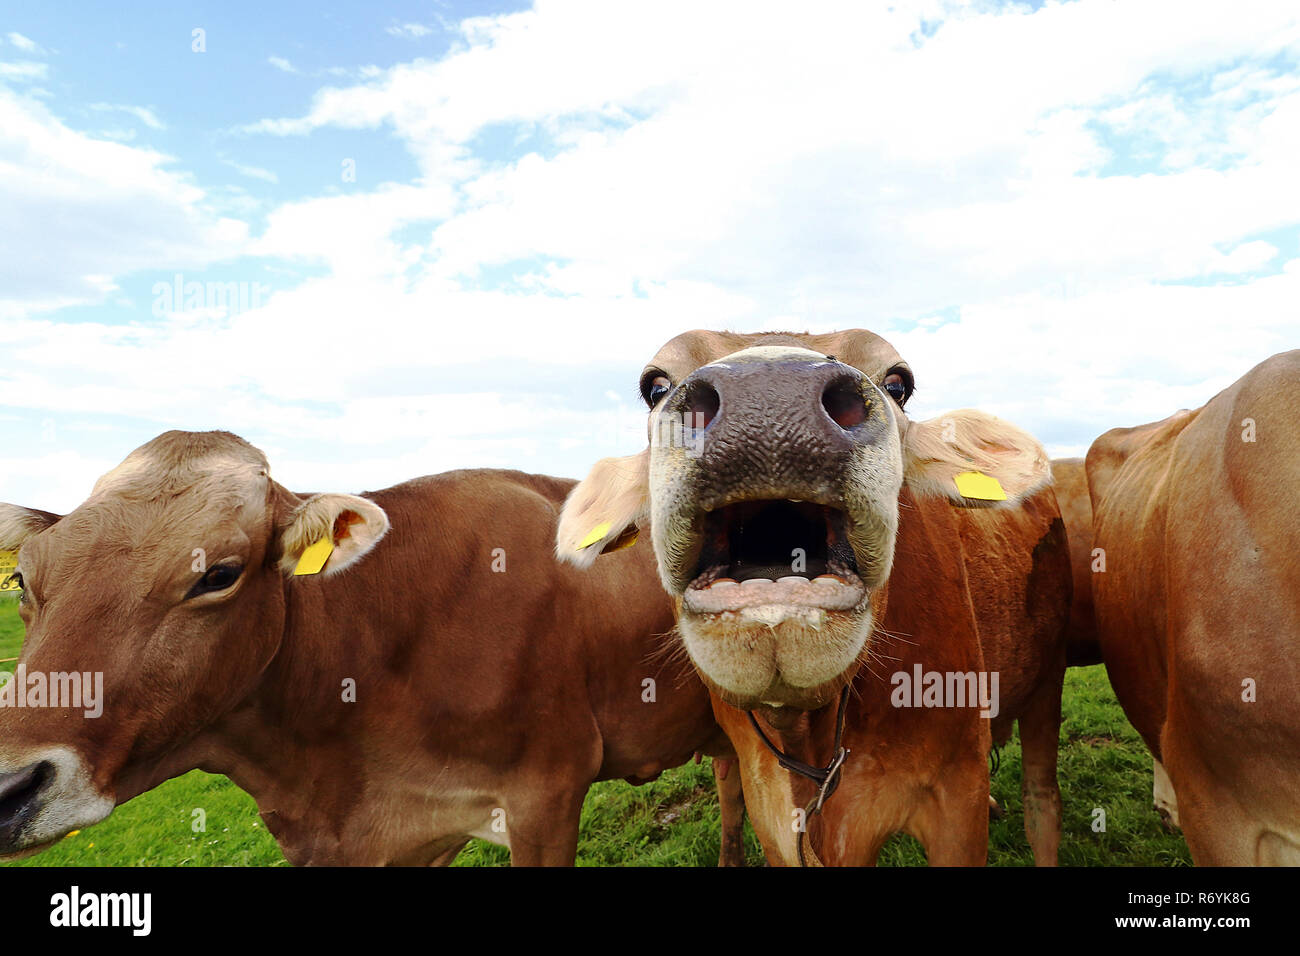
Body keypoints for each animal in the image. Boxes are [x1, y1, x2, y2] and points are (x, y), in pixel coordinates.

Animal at [556, 329, 1071, 865]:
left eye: (898, 383)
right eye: (654, 386)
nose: (769, 396)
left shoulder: (959, 794)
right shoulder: (771, 809)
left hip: (1048, 678)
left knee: (1042, 803)